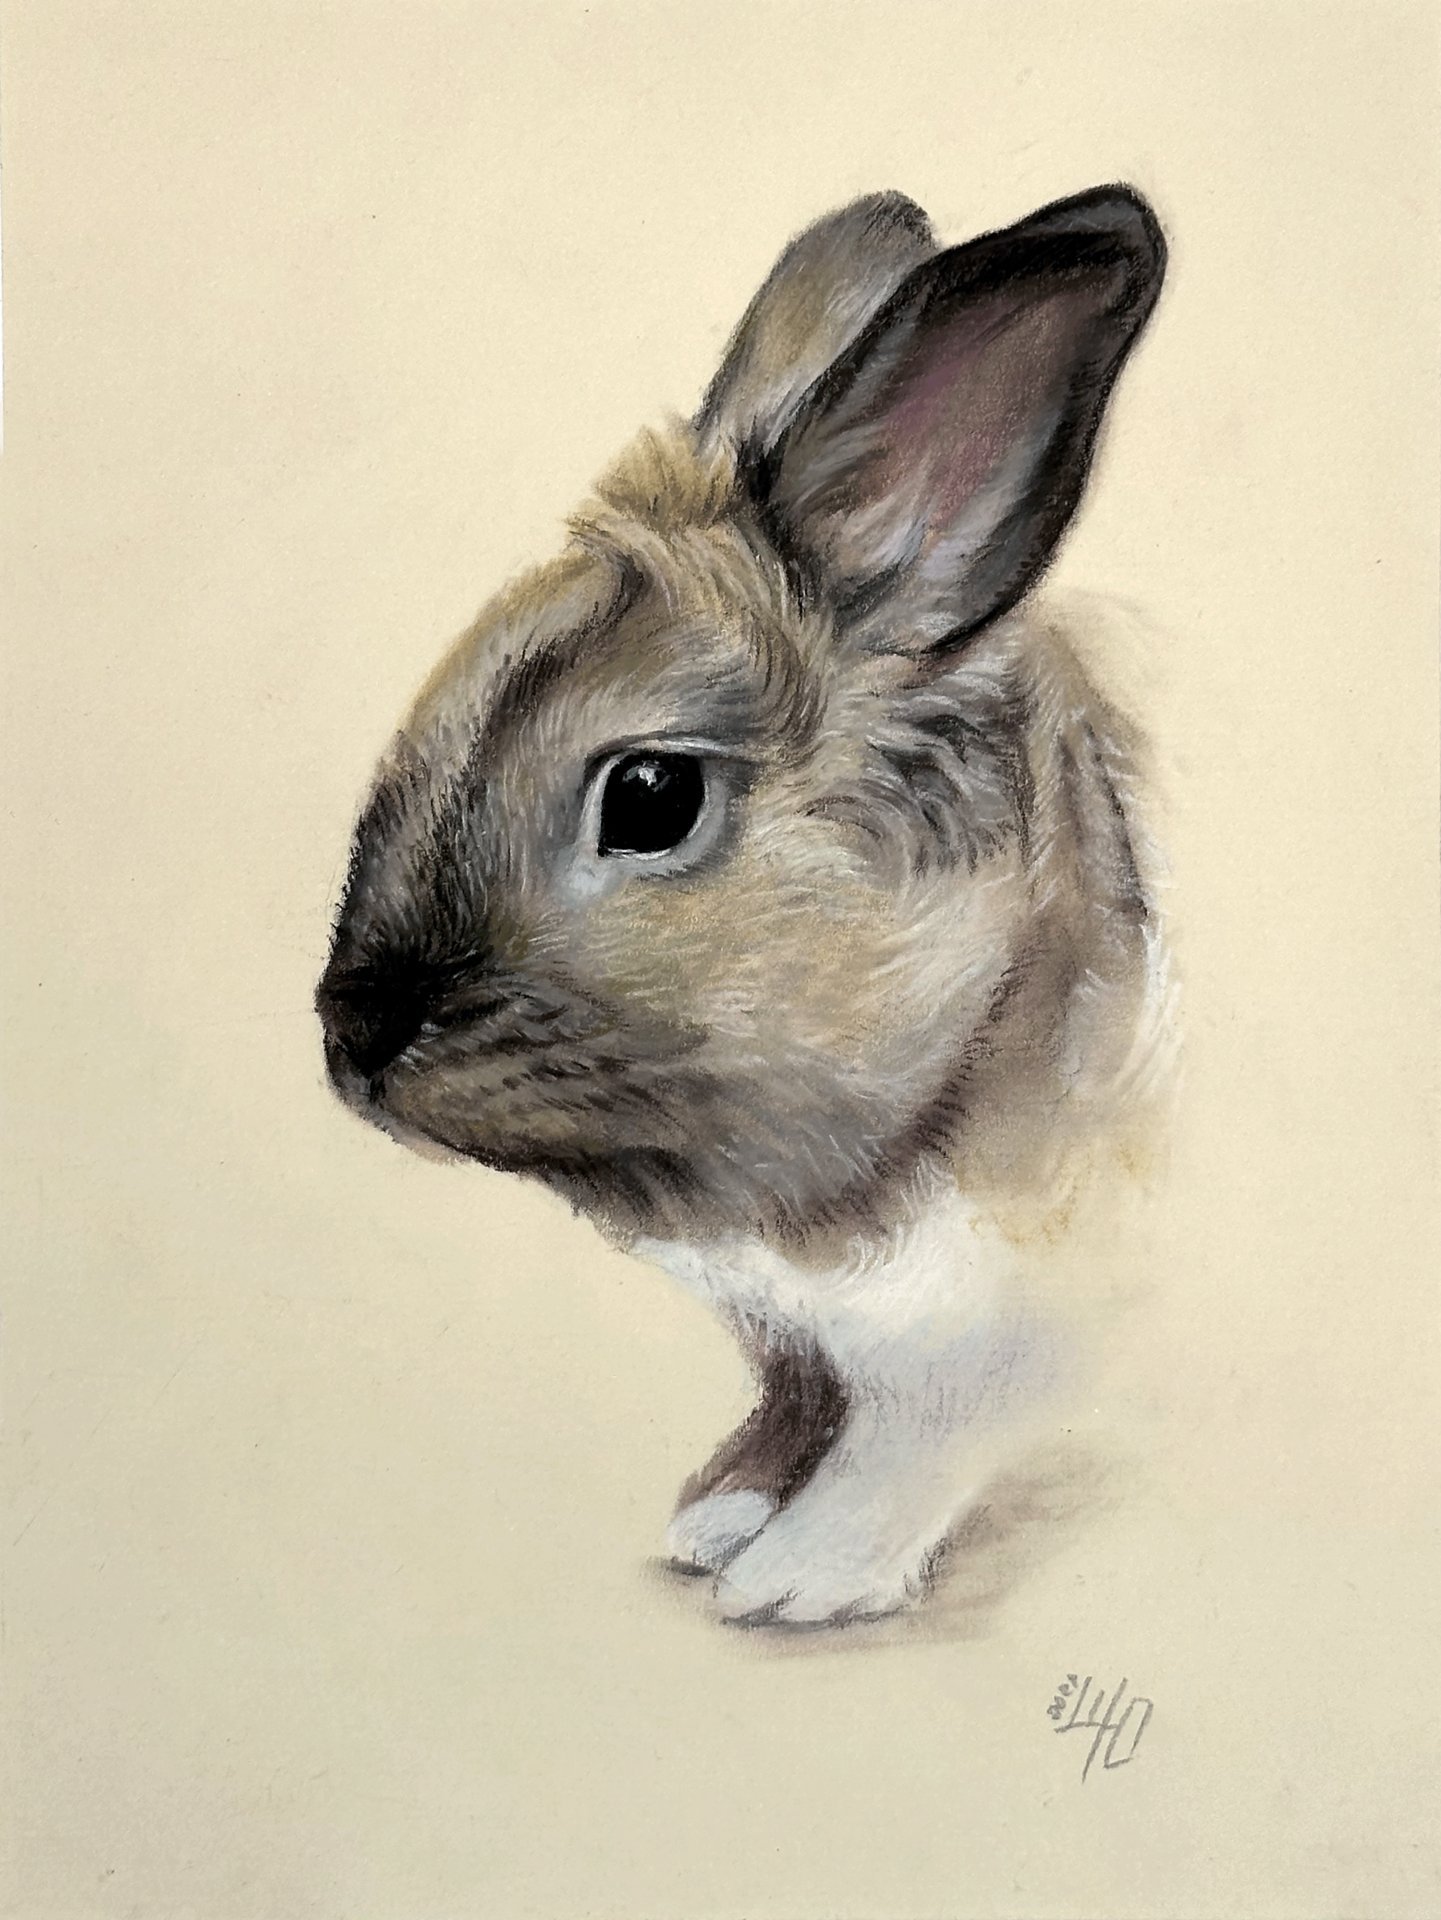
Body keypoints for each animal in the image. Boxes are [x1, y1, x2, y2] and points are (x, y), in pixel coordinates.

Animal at [316, 184, 1171, 1626]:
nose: (352, 1030)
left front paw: (797, 1575)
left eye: (652, 794)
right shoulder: (806, 1343)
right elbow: (801, 1398)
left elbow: (908, 1438)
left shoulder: (987, 1330)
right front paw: (723, 1515)